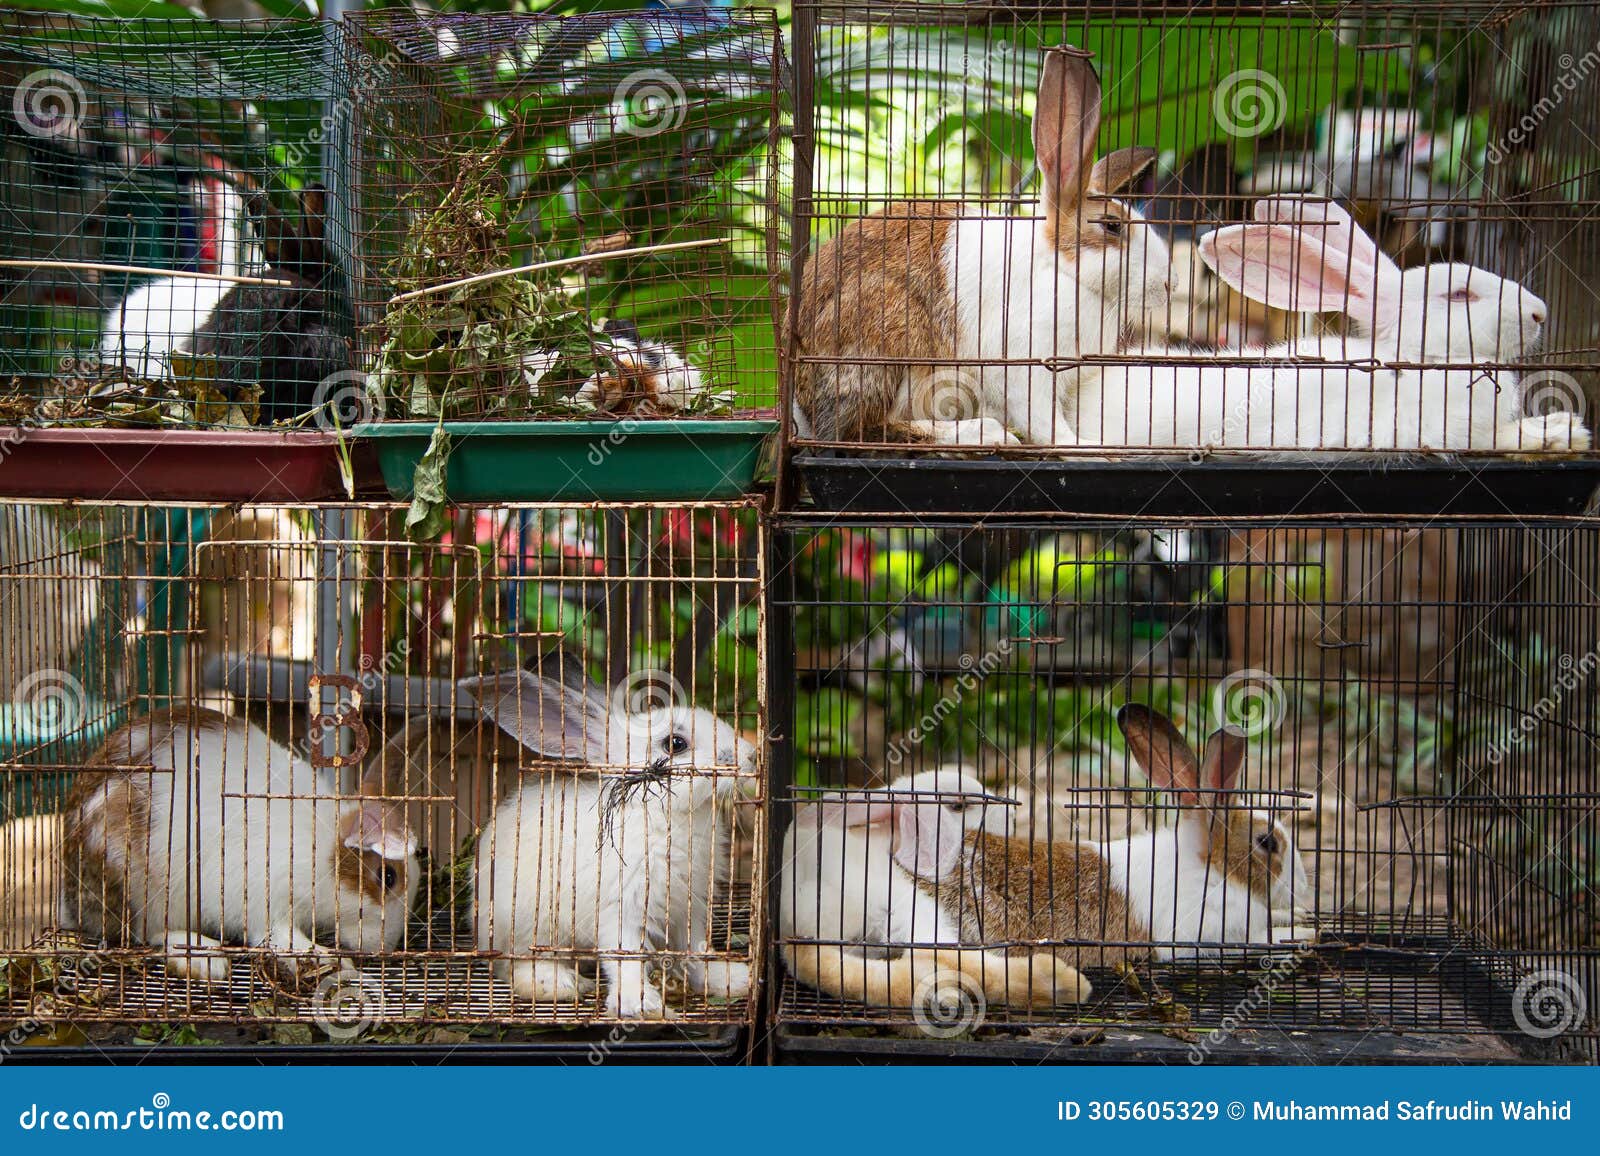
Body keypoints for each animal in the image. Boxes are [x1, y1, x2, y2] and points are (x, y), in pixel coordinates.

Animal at [59, 708, 419, 985]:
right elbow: (284, 938)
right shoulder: (265, 902)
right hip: (143, 887)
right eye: (387, 877)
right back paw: (205, 960)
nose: (385, 948)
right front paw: (332, 962)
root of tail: (73, 900)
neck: (323, 852)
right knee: (149, 933)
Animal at [465, 670, 756, 1019]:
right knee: (517, 964)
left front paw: (730, 979)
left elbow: (695, 953)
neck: (659, 813)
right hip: (525, 924)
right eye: (675, 744)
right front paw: (641, 1005)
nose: (750, 756)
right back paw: (560, 984)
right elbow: (626, 958)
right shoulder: (620, 909)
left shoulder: (689, 911)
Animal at [792, 48, 1168, 448]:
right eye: (1112, 226)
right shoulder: (1027, 369)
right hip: (886, 334)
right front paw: (1088, 448)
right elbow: (1047, 424)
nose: (1170, 284)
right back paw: (985, 433)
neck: (1066, 272)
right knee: (863, 429)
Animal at [883, 705, 1315, 969]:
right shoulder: (1201, 937)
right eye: (1267, 842)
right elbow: (1260, 939)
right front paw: (1304, 933)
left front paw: (1298, 917)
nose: (1302, 887)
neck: (1212, 867)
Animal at [1076, 198, 1591, 451]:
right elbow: (1494, 440)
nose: (1540, 312)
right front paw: (1559, 434)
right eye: (1460, 295)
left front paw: (1563, 427)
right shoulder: (1431, 434)